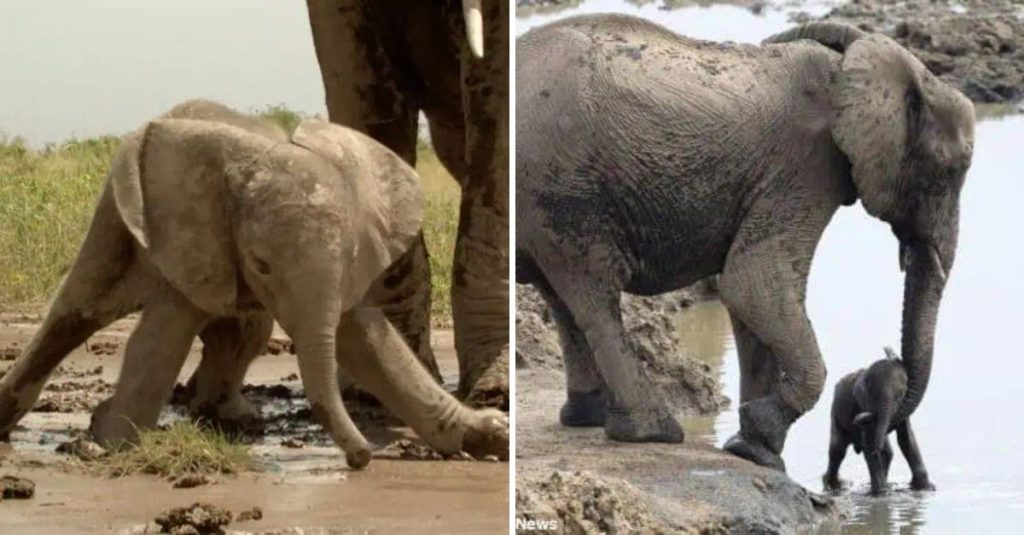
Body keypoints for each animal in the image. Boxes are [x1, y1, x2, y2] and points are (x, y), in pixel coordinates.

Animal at [0, 100, 508, 469]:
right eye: (261, 265)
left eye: (351, 260)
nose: (362, 457)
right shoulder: (193, 238)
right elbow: (160, 339)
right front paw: (108, 443)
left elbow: (367, 342)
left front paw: (489, 435)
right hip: (114, 217)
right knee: (76, 313)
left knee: (247, 333)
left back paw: (228, 419)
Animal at [516, 16, 974, 470]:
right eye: (950, 171)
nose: (885, 363)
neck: (855, 65)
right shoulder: (806, 166)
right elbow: (753, 286)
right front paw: (756, 432)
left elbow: (748, 306)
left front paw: (756, 449)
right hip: (565, 188)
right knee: (593, 291)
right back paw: (651, 431)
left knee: (562, 296)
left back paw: (587, 418)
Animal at [825, 347, 934, 495]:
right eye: (874, 395)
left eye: (900, 394)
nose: (857, 418)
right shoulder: (863, 402)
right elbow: (868, 442)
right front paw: (881, 493)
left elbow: (907, 439)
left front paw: (927, 488)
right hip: (835, 414)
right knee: (837, 451)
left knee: (888, 452)